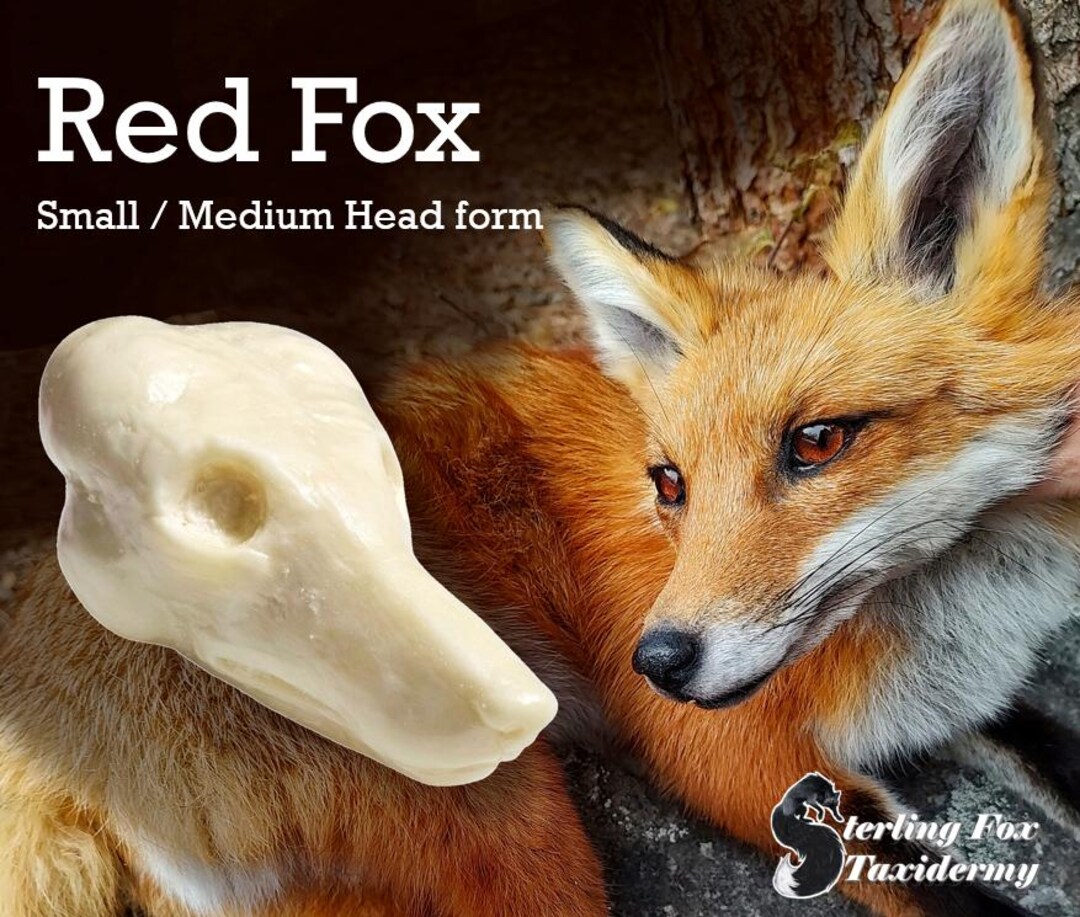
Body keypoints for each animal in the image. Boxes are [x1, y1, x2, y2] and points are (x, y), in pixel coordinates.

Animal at [2, 0, 1080, 914]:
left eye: (818, 440)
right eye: (670, 481)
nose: (656, 657)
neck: (950, 629)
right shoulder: (730, 753)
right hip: (529, 835)